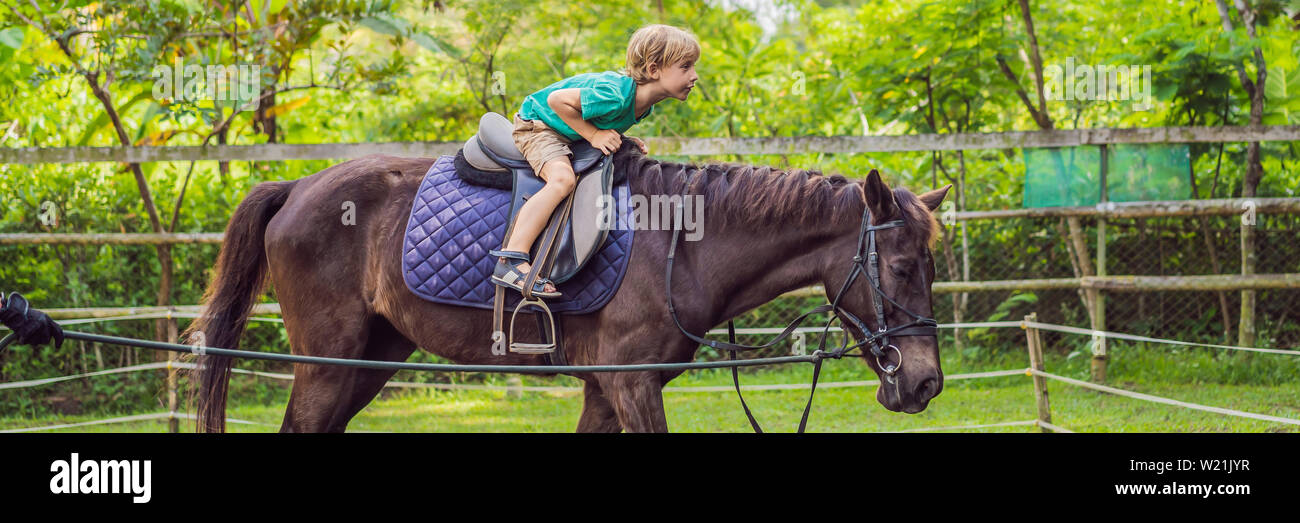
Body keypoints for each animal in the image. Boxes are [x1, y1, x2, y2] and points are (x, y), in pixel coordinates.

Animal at [186, 140, 951, 433]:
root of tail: (296, 187)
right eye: (902, 268)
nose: (924, 383)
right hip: (327, 362)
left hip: (369, 359)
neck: (682, 248)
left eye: (930, 266)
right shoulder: (632, 385)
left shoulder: (604, 389)